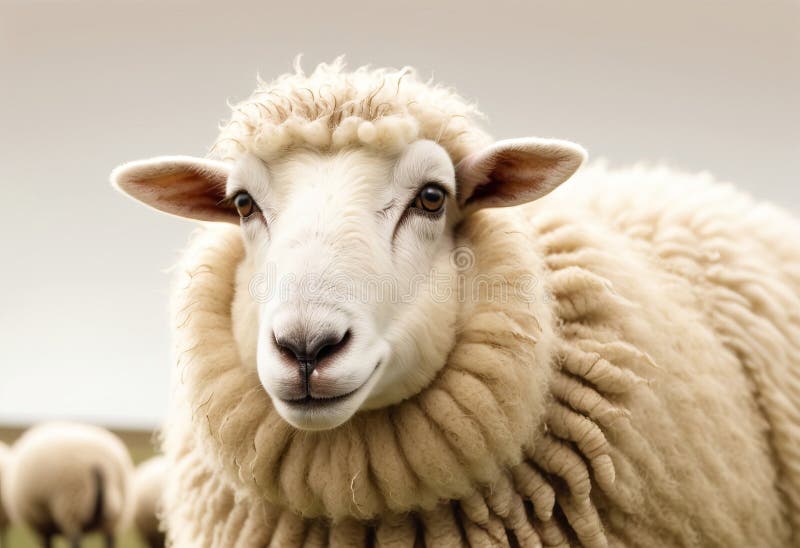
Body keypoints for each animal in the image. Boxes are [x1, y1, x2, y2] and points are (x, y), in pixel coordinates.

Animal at [1, 422, 134, 548]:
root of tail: (98, 462)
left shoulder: (42, 526)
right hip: (112, 519)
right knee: (109, 540)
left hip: (72, 505)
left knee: (75, 541)